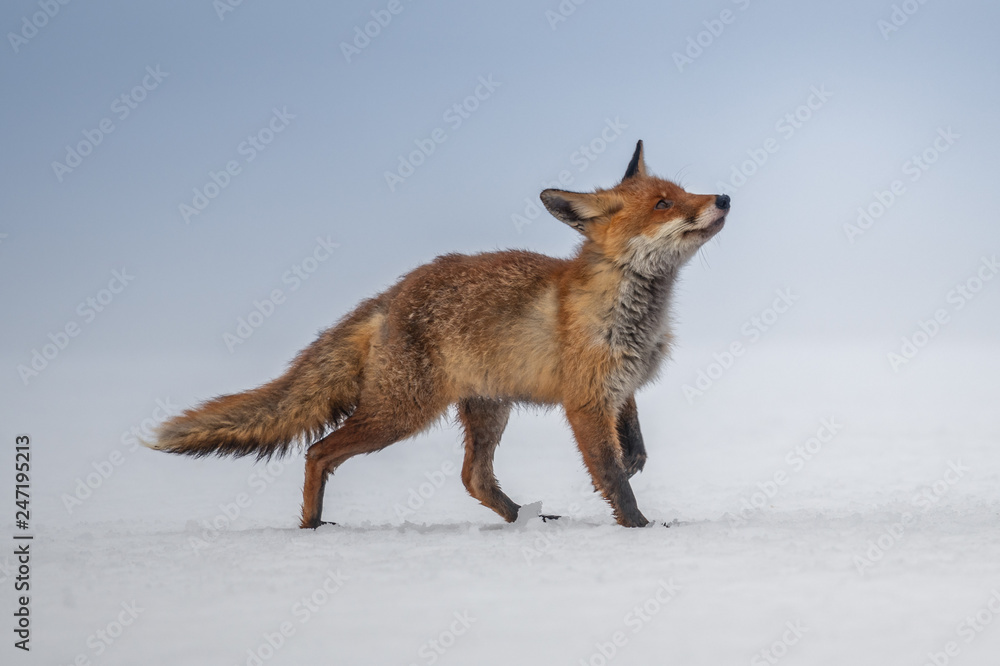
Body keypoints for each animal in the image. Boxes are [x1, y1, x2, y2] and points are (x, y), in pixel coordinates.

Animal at [151, 140, 730, 528]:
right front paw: (639, 528)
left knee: (474, 477)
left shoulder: (620, 388)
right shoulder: (585, 400)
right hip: (402, 413)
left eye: (683, 192)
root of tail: (394, 291)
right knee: (317, 451)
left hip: (487, 407)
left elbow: (632, 449)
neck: (633, 311)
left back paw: (525, 520)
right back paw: (311, 527)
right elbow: (610, 474)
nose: (723, 197)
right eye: (663, 204)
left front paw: (634, 466)